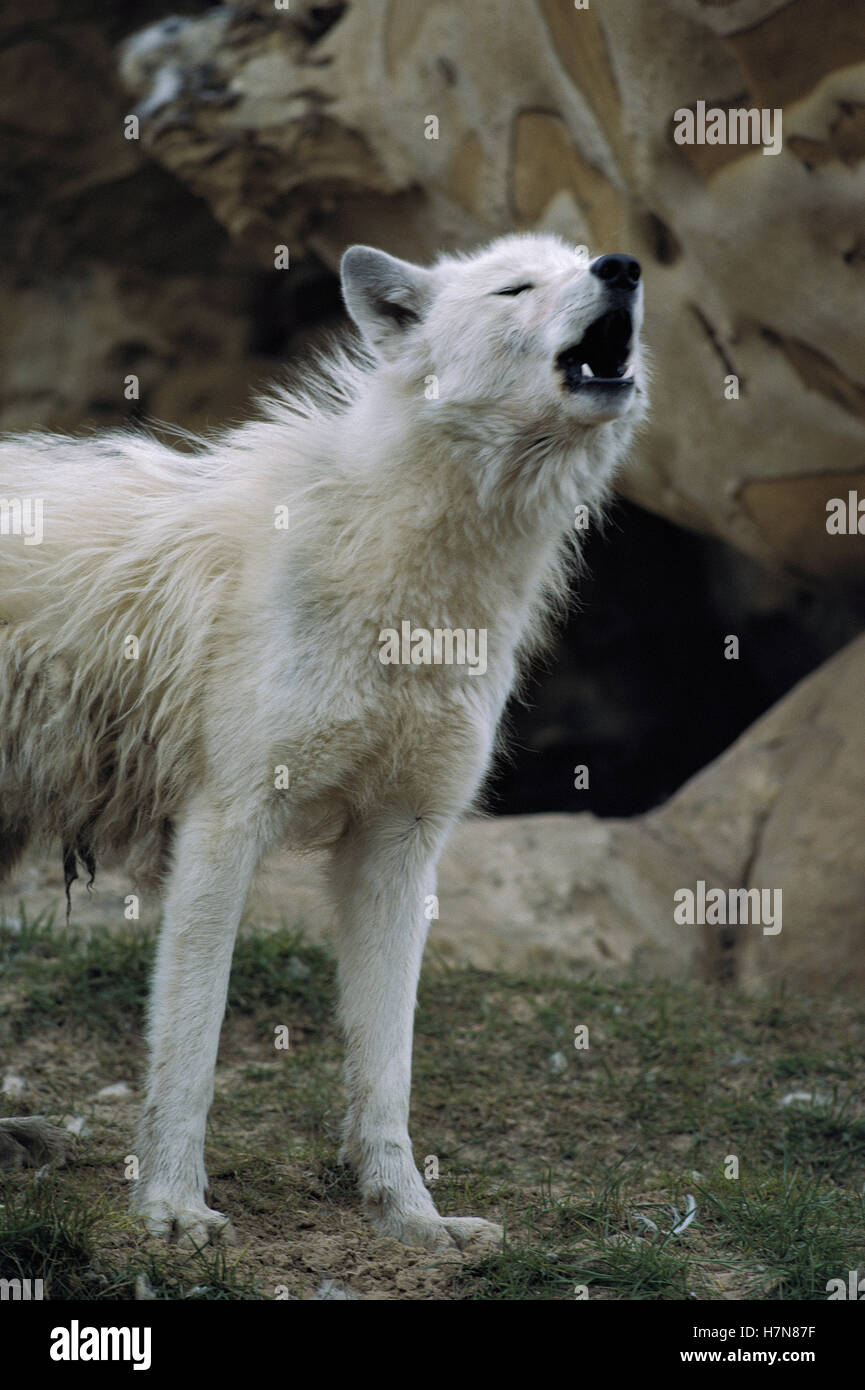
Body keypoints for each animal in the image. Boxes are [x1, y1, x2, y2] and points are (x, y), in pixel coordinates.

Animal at [0, 234, 646, 1251]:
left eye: (580, 262)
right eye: (515, 288)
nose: (622, 267)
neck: (411, 596)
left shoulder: (401, 843)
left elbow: (388, 1068)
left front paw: (410, 1217)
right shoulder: (224, 825)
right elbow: (189, 1044)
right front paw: (172, 1205)